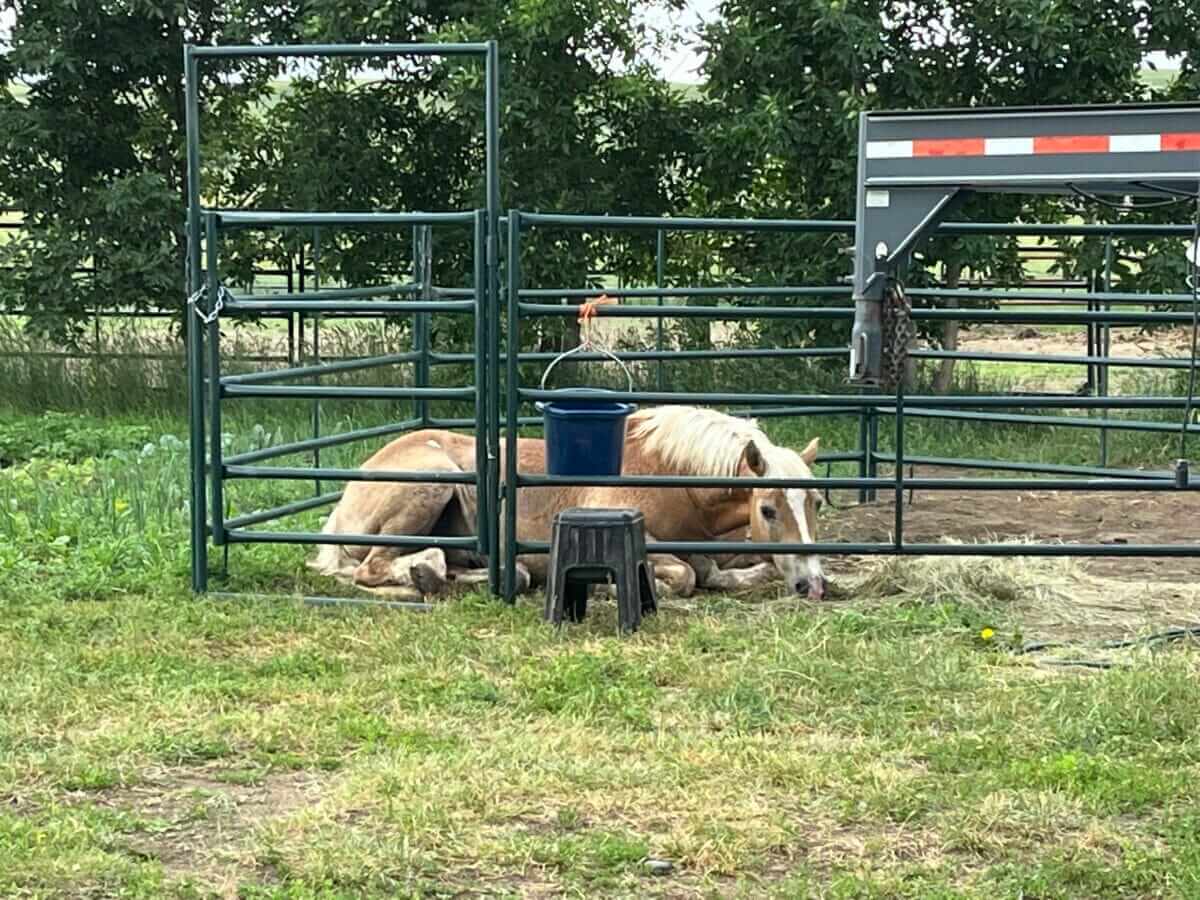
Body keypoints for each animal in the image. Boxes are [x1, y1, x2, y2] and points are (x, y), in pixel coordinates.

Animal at [309, 405, 827, 600]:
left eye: (816, 504)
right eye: (768, 510)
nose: (814, 585)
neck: (672, 475)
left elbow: (720, 573)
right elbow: (683, 576)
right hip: (434, 484)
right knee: (371, 569)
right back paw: (423, 577)